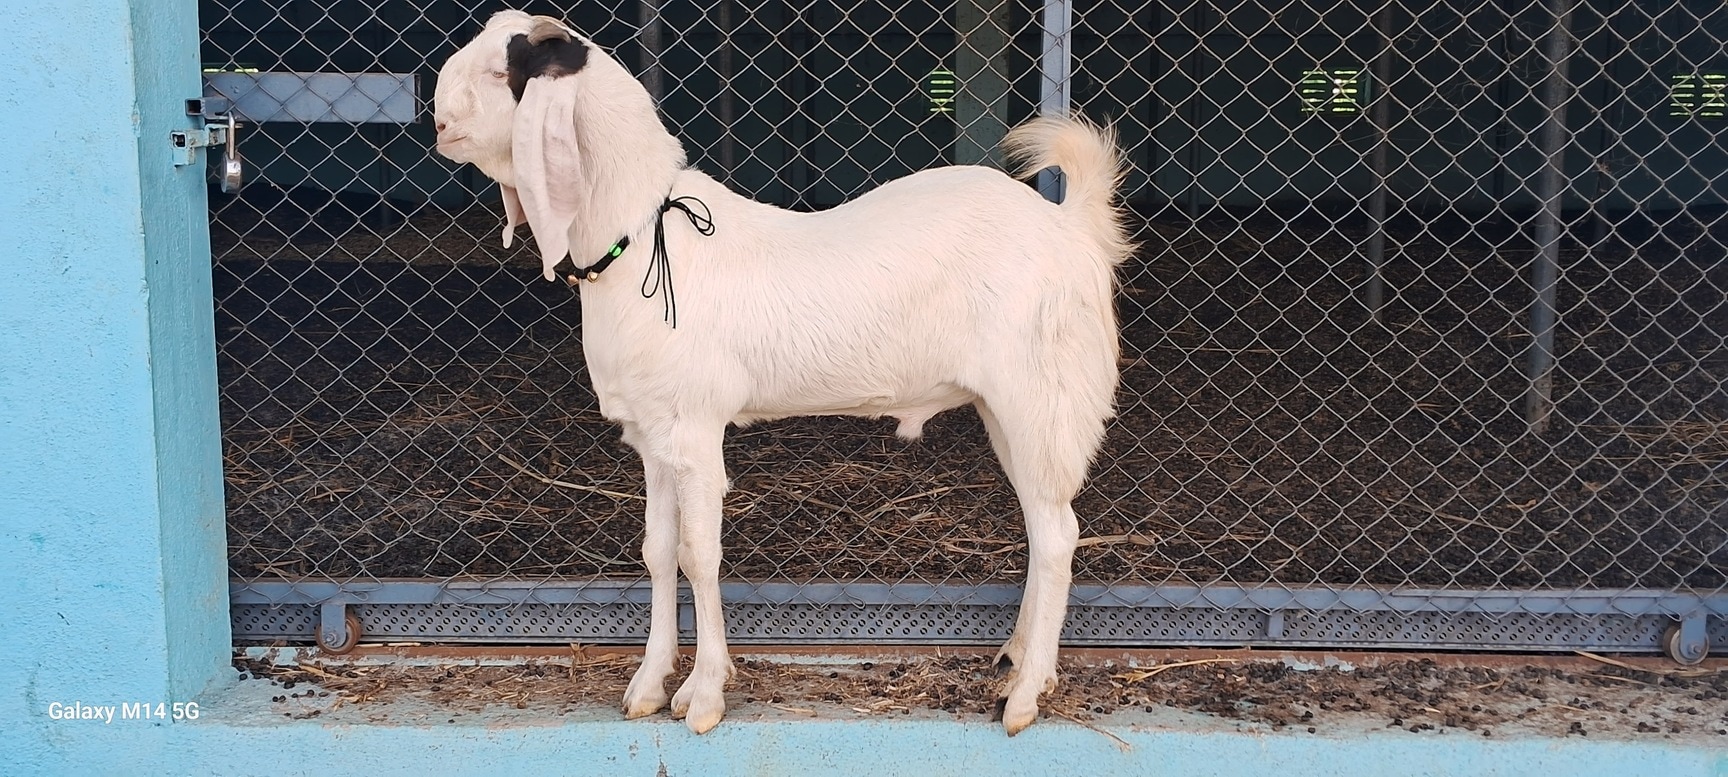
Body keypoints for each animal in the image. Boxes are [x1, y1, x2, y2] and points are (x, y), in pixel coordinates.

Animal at [433, 10, 1133, 735]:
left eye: (501, 71)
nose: (438, 125)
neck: (644, 234)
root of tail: (1072, 226)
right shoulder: (653, 434)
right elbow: (657, 549)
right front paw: (650, 684)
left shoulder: (694, 430)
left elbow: (699, 554)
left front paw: (704, 694)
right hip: (1008, 407)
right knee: (1040, 526)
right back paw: (1017, 662)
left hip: (1042, 398)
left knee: (1058, 534)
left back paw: (1024, 696)